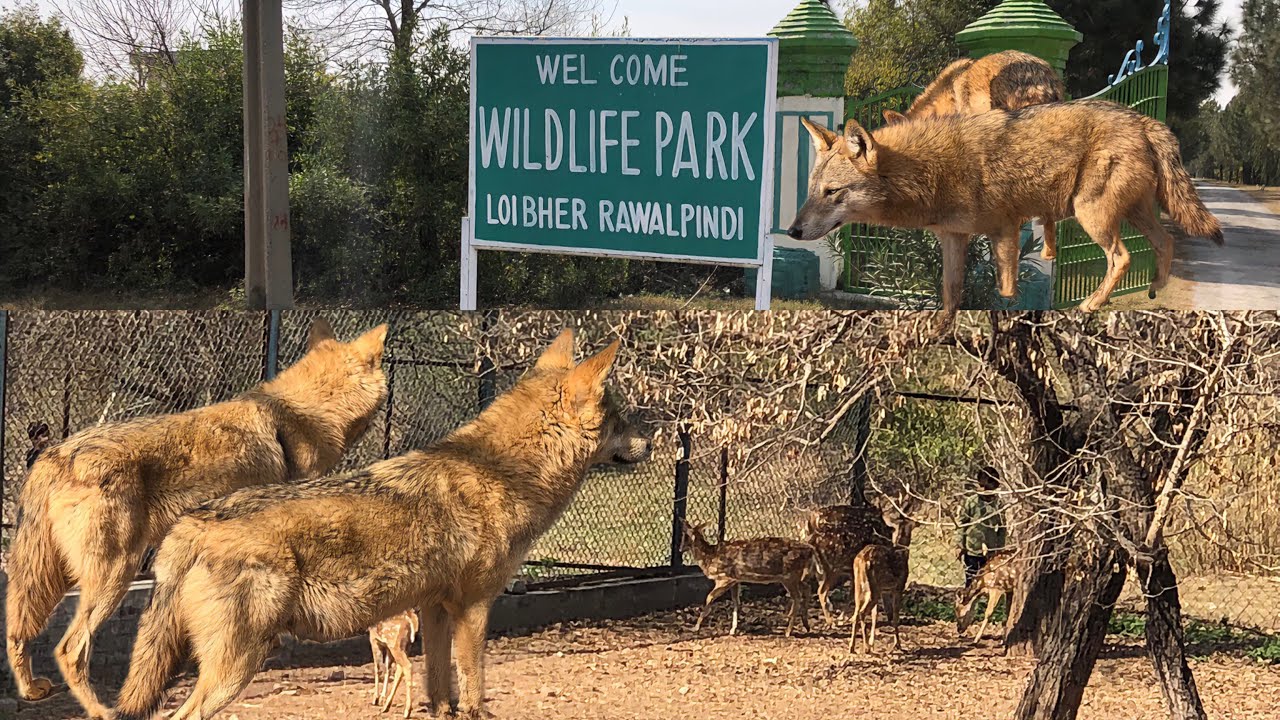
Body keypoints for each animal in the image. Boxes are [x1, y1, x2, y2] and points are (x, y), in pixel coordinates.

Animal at [5, 319, 388, 719]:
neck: (298, 416)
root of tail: (55, 454)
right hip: (114, 576)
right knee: (69, 650)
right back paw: (100, 709)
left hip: (53, 578)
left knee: (16, 630)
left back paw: (31, 689)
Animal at [112, 329, 652, 720]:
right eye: (623, 419)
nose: (654, 440)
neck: (502, 472)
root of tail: (191, 522)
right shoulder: (474, 609)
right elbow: (474, 692)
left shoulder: (434, 610)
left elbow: (440, 696)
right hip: (233, 669)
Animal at [787, 101, 1223, 325]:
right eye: (811, 192)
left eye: (832, 192)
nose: (791, 231)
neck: (929, 171)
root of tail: (1145, 120)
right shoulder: (954, 238)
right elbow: (950, 294)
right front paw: (945, 328)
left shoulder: (1005, 231)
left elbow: (1007, 293)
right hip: (1134, 214)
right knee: (1164, 244)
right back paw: (1154, 289)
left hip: (1093, 216)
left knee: (1123, 257)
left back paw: (1090, 306)